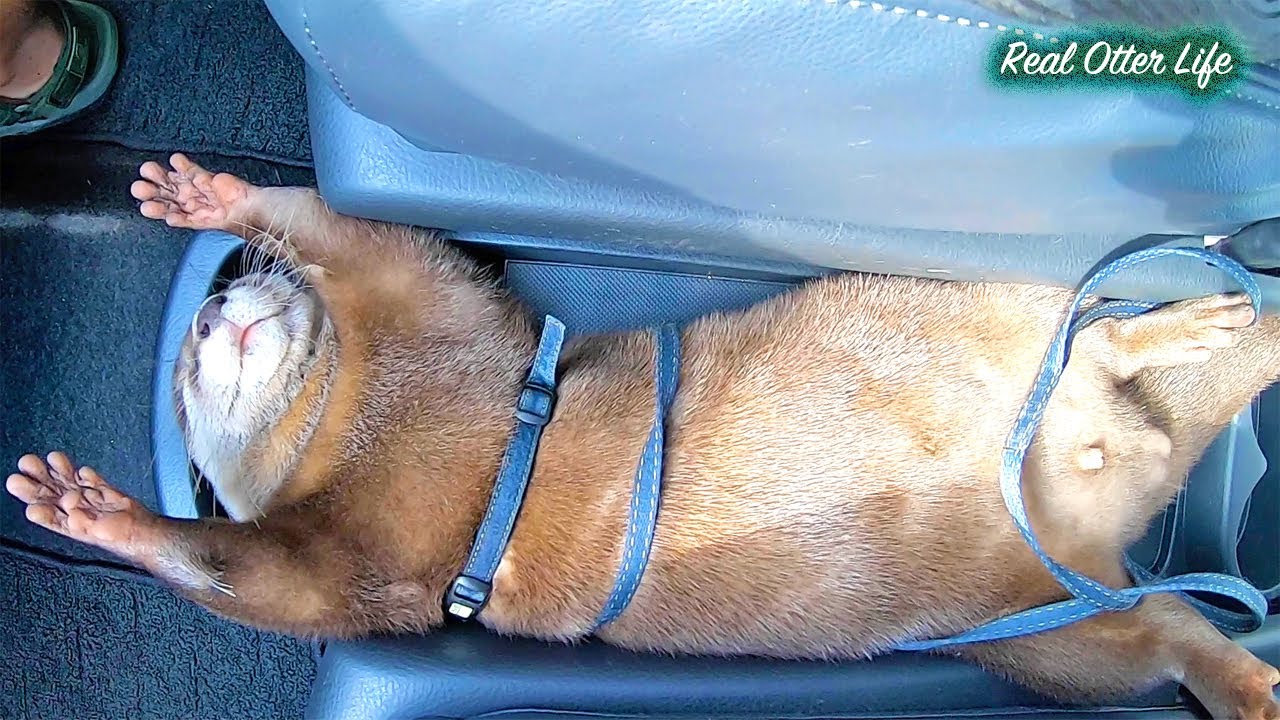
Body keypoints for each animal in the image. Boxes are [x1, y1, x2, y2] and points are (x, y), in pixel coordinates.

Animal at [7, 154, 1279, 719]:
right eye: (183, 378)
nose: (210, 316)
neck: (373, 408)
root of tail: (1110, 484)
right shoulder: (371, 556)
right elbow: (285, 584)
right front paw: (95, 512)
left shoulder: (445, 320)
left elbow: (369, 244)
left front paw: (213, 199)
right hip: (1051, 638)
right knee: (1165, 633)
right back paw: (1242, 681)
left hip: (986, 309)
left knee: (1090, 335)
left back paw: (1190, 320)